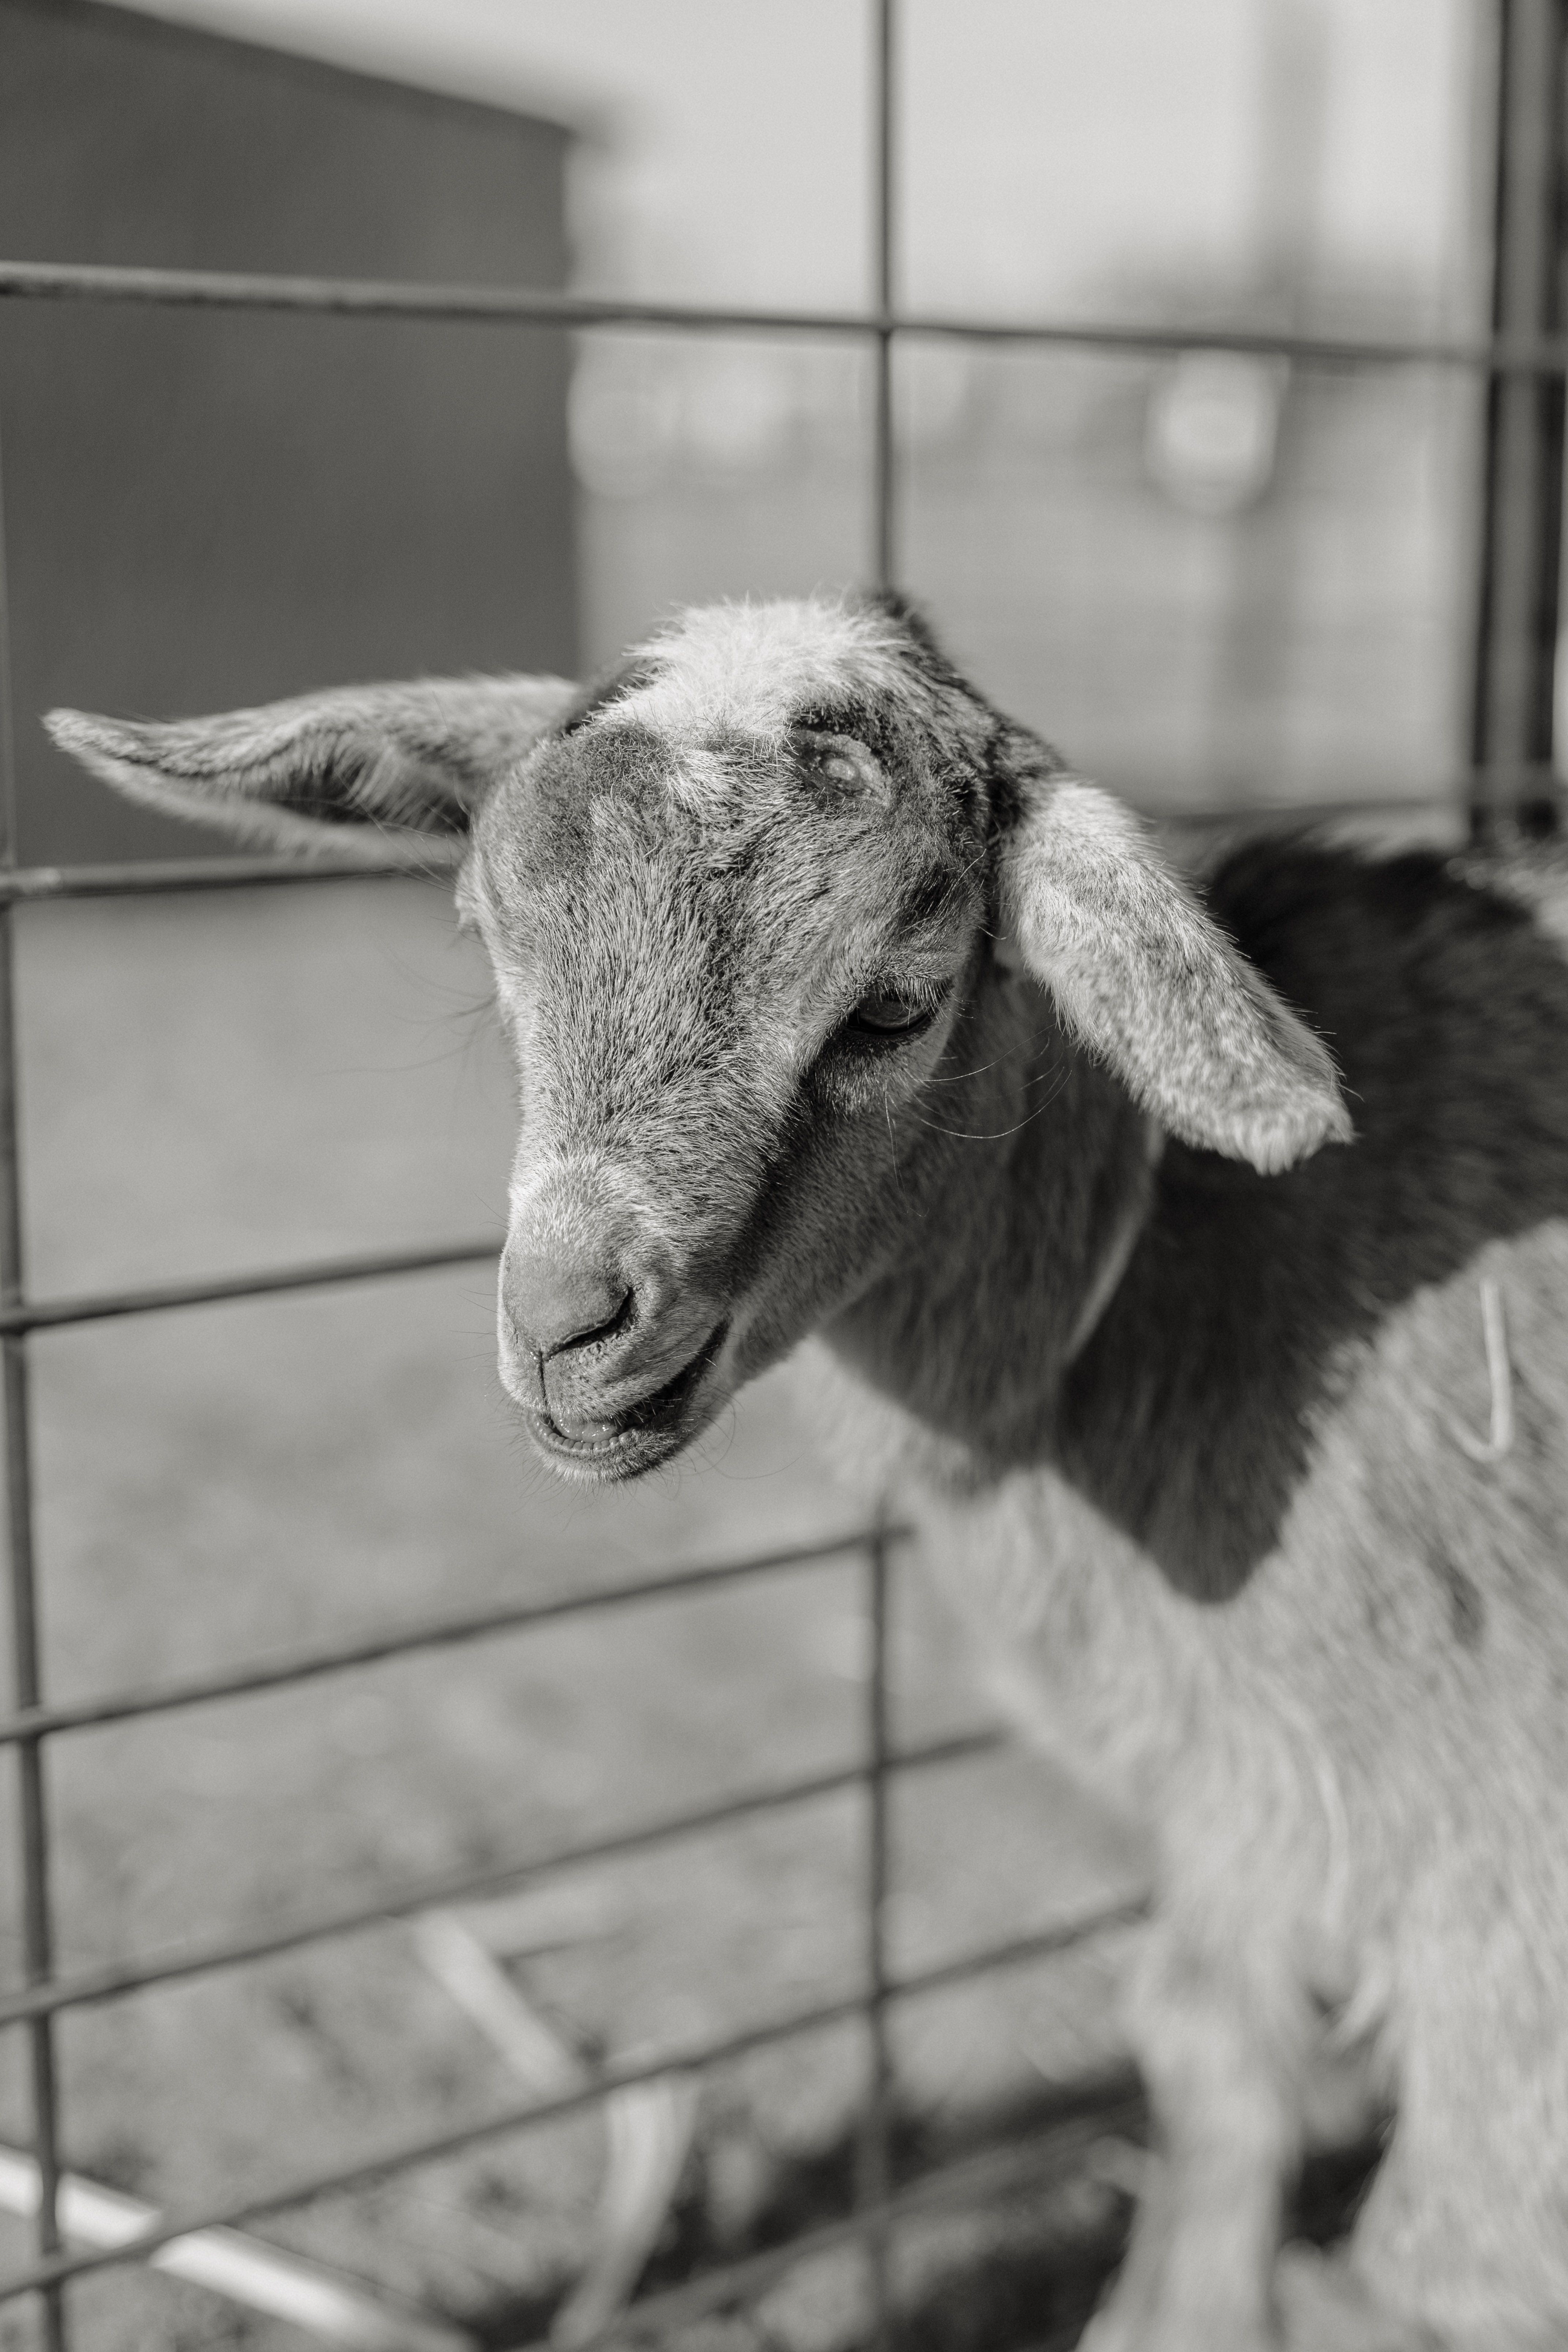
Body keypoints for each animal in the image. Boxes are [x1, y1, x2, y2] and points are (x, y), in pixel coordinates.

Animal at [50, 590, 1568, 2350]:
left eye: (893, 1004)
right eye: (487, 940)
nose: (564, 1325)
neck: (1161, 1268)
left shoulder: (1493, 1856)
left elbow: (1441, 2255)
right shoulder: (1231, 1806)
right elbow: (1205, 2056)